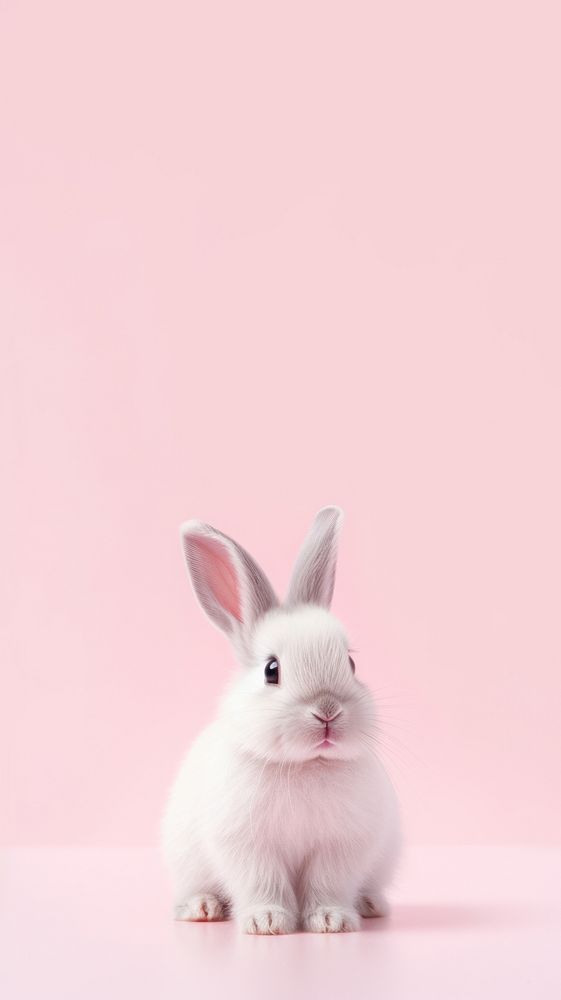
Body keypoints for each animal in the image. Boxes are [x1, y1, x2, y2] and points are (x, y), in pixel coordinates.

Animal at [161, 506, 401, 934]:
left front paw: (332, 920)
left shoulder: (339, 848)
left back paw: (371, 904)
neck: (305, 765)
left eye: (351, 664)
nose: (327, 710)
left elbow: (327, 884)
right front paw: (267, 922)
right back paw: (202, 908)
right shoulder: (248, 847)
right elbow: (263, 882)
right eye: (271, 670)